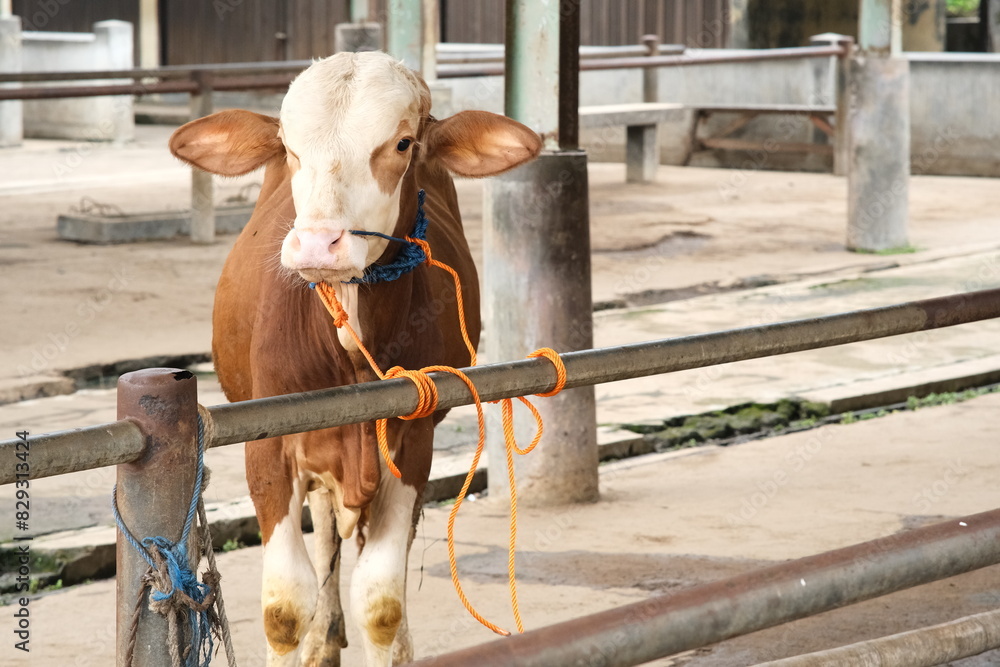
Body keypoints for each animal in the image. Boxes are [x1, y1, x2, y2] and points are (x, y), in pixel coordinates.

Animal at [168, 51, 541, 666]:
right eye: (288, 146)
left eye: (403, 143)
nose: (320, 244)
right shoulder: (268, 444)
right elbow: (283, 607)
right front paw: (310, 630)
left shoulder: (413, 441)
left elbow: (382, 599)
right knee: (324, 528)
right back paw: (324, 637)